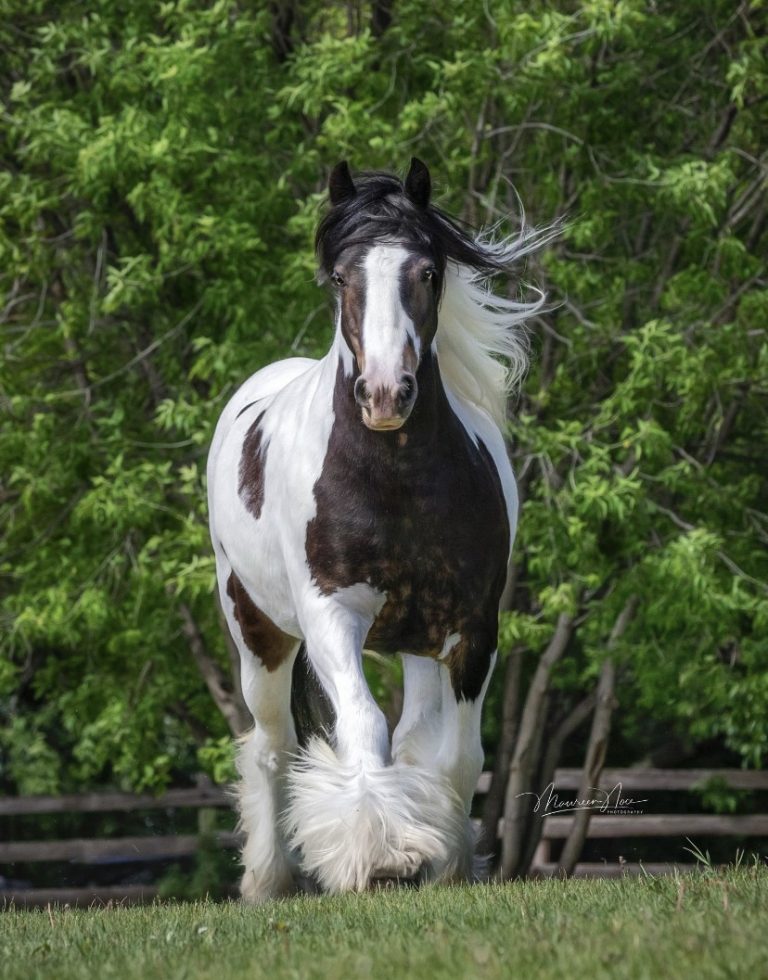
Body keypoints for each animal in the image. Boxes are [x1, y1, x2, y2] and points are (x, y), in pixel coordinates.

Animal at [207, 158, 543, 901]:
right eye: (341, 276)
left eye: (428, 270)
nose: (386, 394)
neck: (395, 484)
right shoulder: (332, 616)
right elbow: (363, 725)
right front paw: (376, 856)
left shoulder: (471, 630)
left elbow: (459, 753)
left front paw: (446, 864)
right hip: (258, 637)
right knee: (271, 747)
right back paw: (268, 878)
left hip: (416, 642)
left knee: (417, 734)